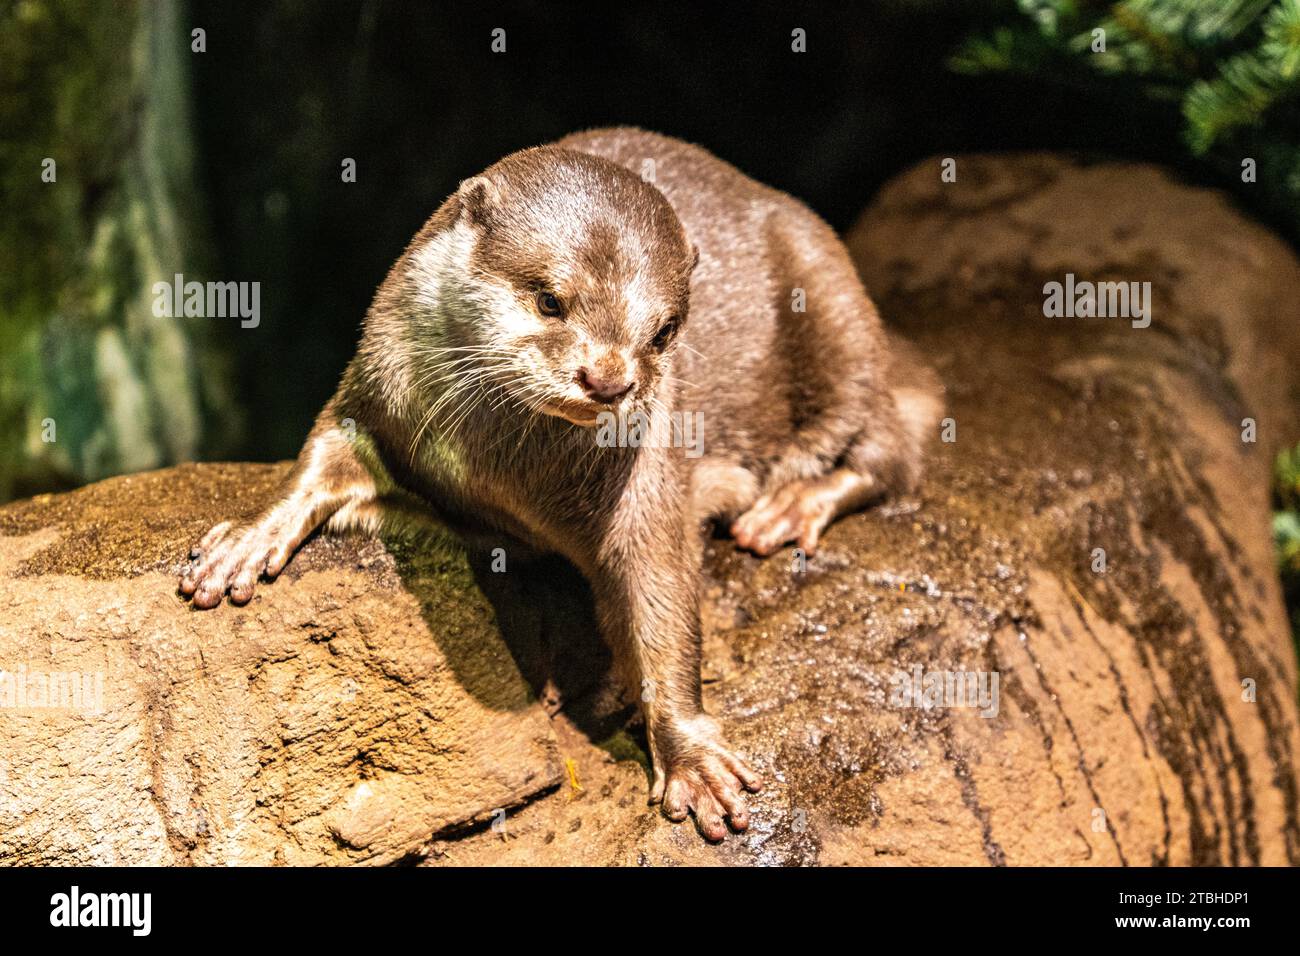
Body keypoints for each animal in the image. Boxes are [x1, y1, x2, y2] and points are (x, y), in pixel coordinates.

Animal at [180, 128, 943, 841]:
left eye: (664, 331)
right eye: (550, 298)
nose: (608, 377)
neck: (506, 472)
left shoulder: (648, 476)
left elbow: (660, 596)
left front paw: (692, 759)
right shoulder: (375, 387)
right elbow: (321, 455)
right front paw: (244, 542)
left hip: (833, 297)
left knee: (890, 449)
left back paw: (786, 506)